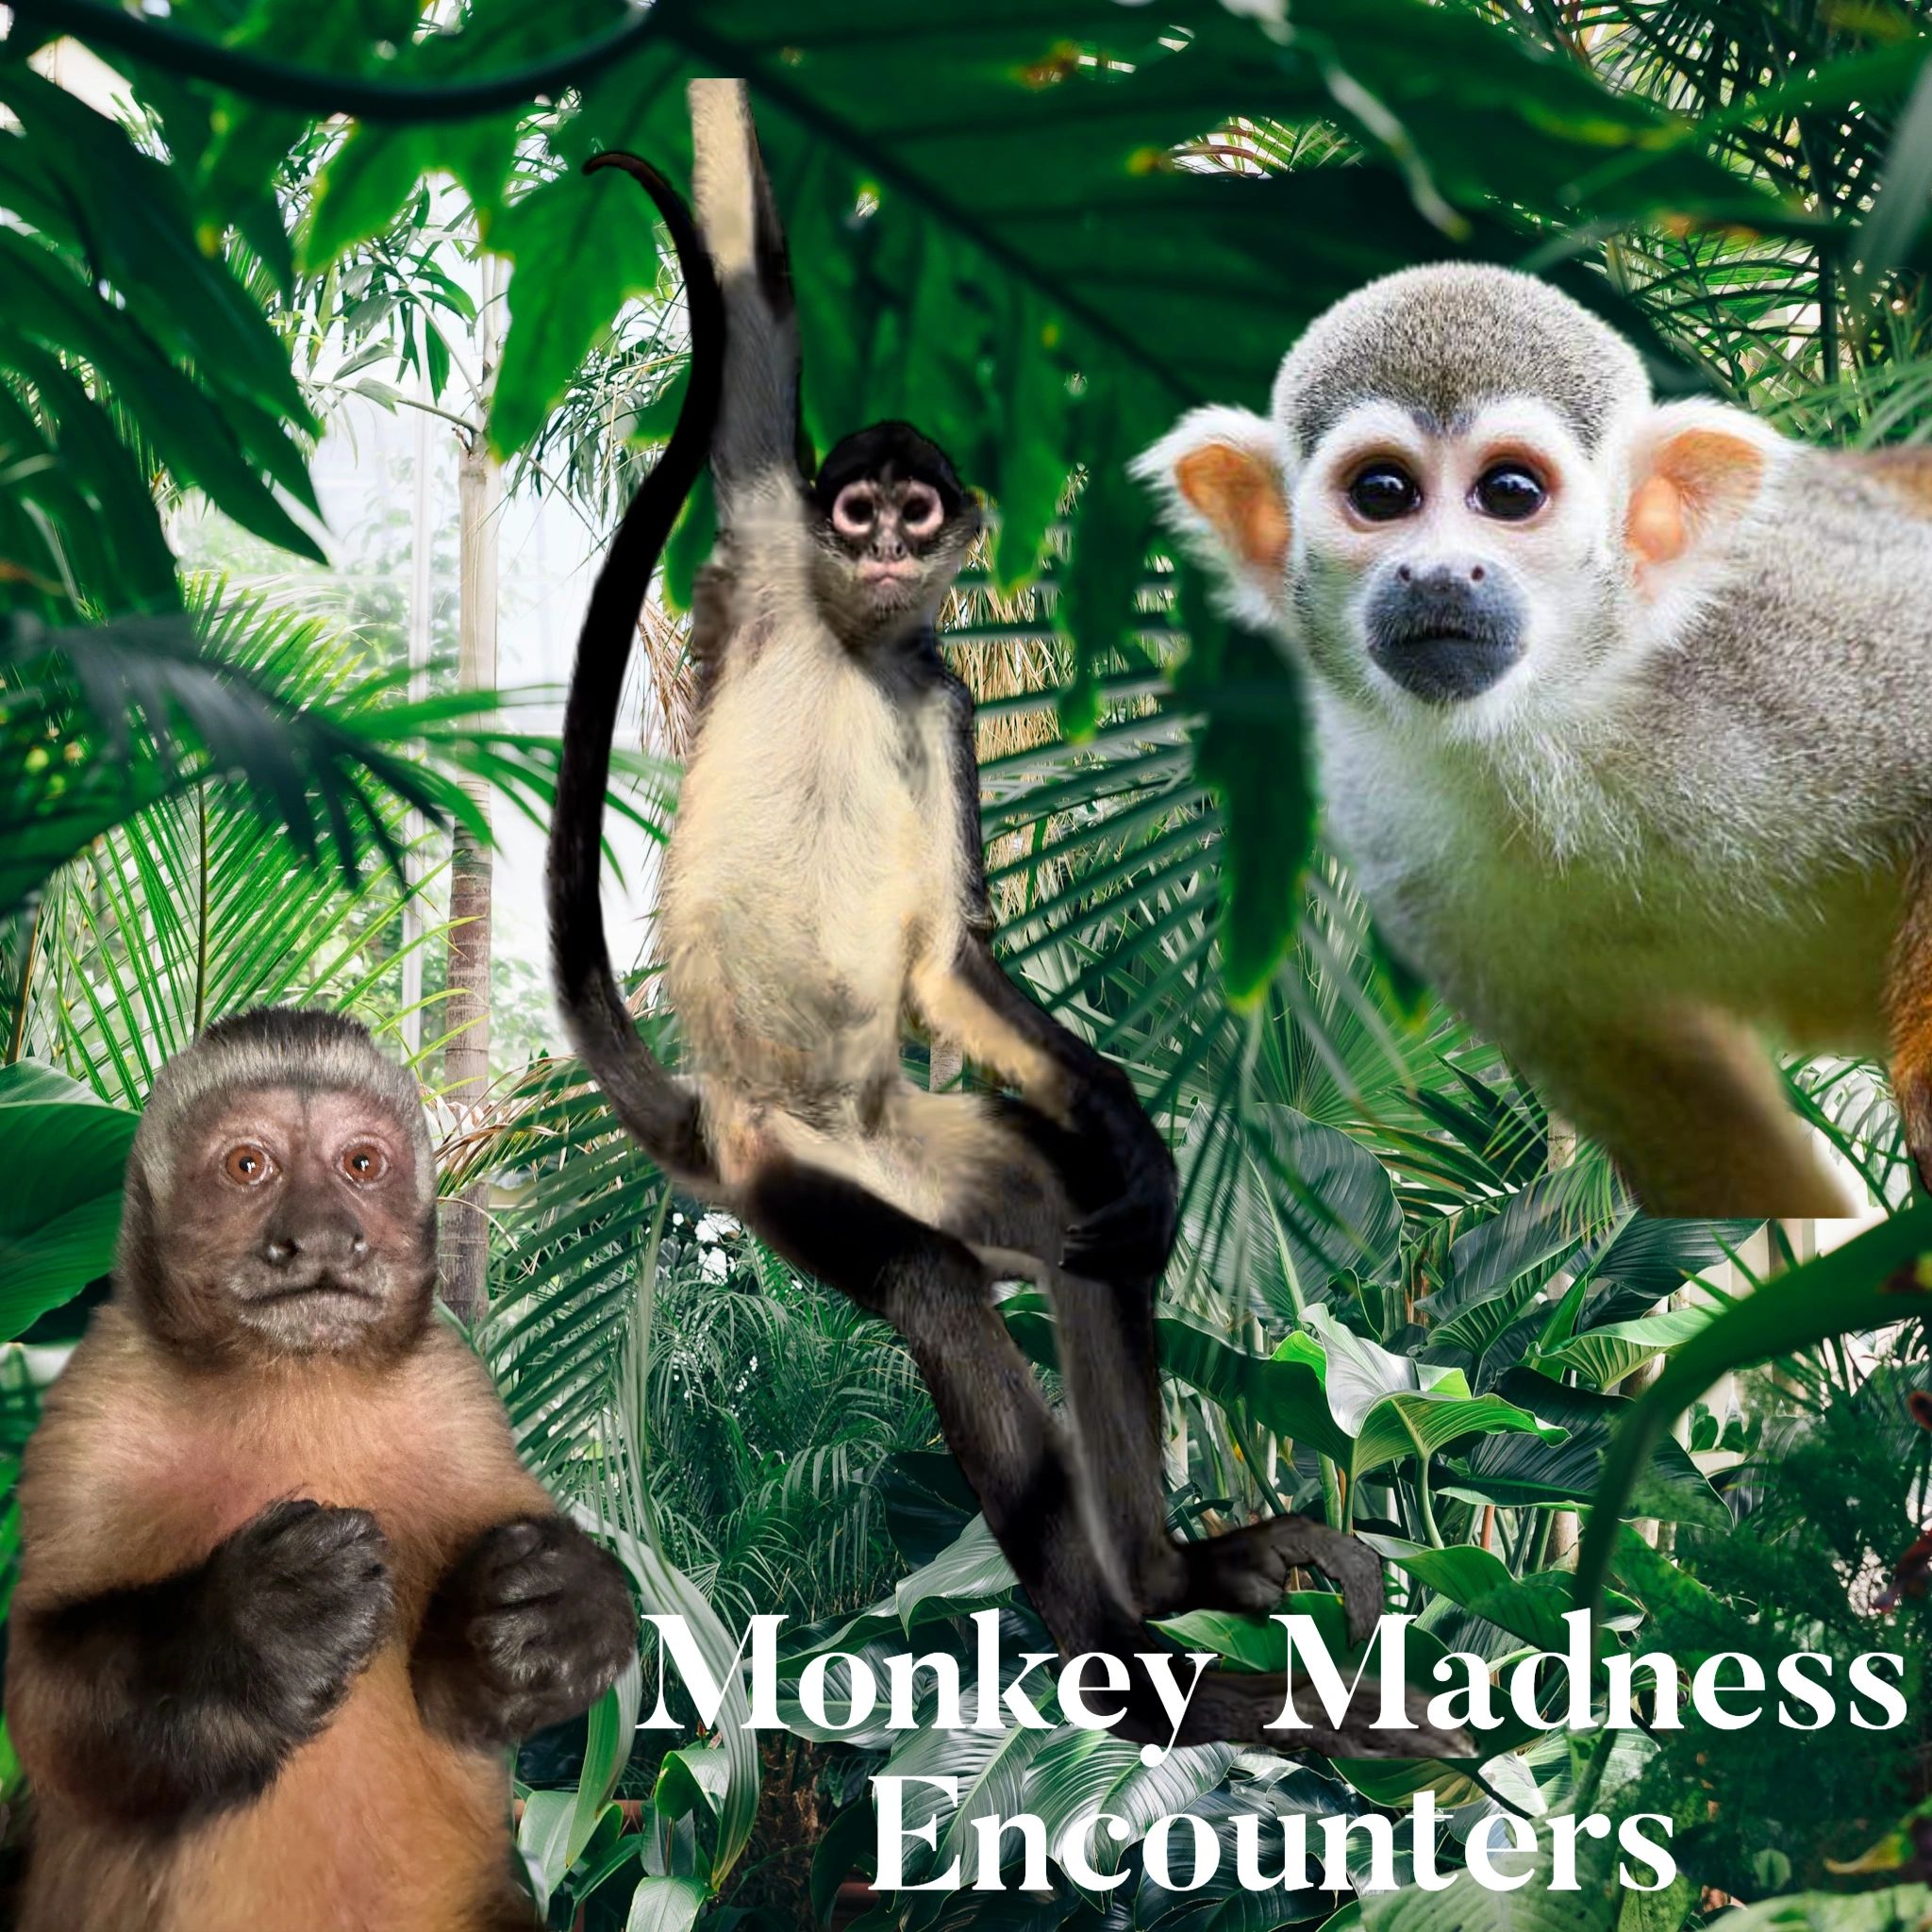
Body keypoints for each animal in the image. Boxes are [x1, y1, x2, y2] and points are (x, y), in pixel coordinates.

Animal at [6, 1008, 636, 1932]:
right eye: (248, 1166)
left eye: (361, 1165)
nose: (328, 1236)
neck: (294, 1377)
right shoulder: (96, 1408)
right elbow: (45, 1707)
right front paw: (256, 1631)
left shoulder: (456, 1394)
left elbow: (461, 1707)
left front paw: (557, 1611)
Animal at [547, 81, 1465, 1761]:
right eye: (859, 509)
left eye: (918, 516)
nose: (888, 548)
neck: (857, 644)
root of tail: (747, 1120)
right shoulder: (768, 548)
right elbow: (755, 297)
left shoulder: (944, 698)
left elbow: (951, 957)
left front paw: (1137, 1132)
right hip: (803, 1183)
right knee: (931, 1292)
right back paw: (1141, 1664)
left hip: (927, 1145)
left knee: (1073, 1217)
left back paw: (1170, 1577)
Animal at [1135, 261, 1932, 1221]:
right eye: (1382, 494)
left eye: (1509, 493)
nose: (1439, 575)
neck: (1558, 719)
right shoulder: (1388, 819)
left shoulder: (1801, 624)